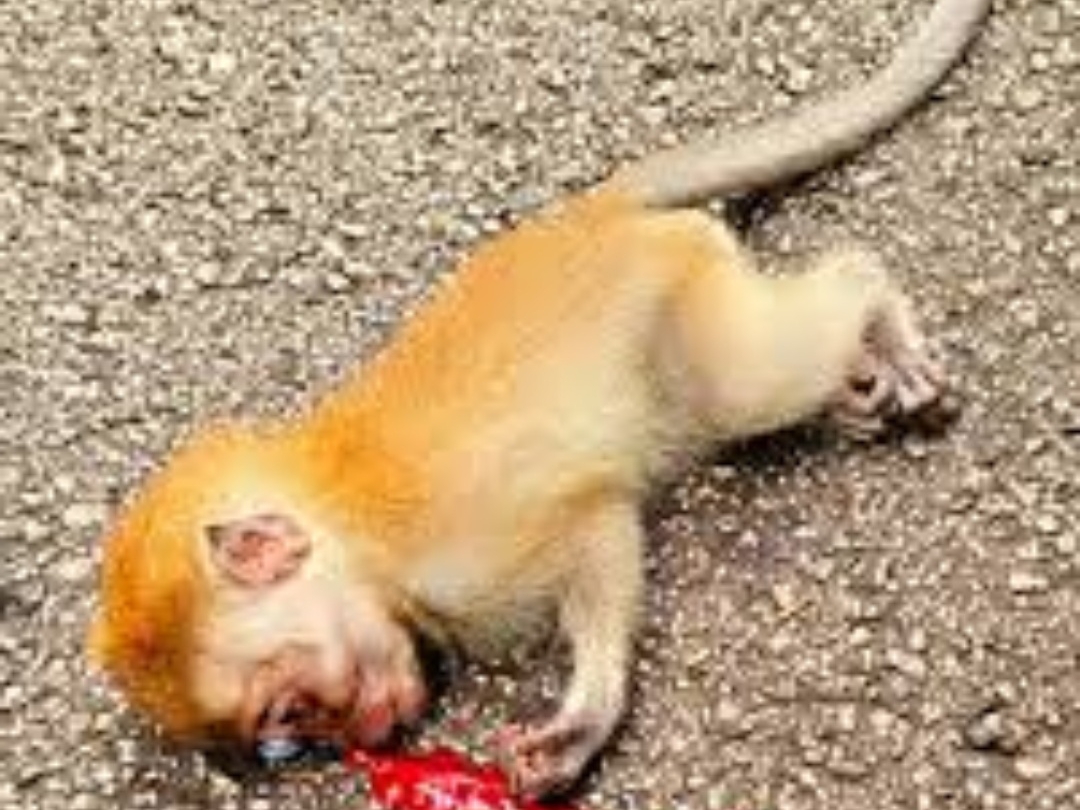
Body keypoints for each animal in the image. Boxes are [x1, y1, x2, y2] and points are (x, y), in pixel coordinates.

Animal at [88, 0, 989, 799]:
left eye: (290, 710)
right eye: (288, 741)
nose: (365, 738)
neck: (358, 534)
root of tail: (593, 215)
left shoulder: (469, 548)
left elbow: (595, 525)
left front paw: (588, 711)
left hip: (687, 307)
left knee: (767, 366)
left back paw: (874, 309)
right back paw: (854, 385)